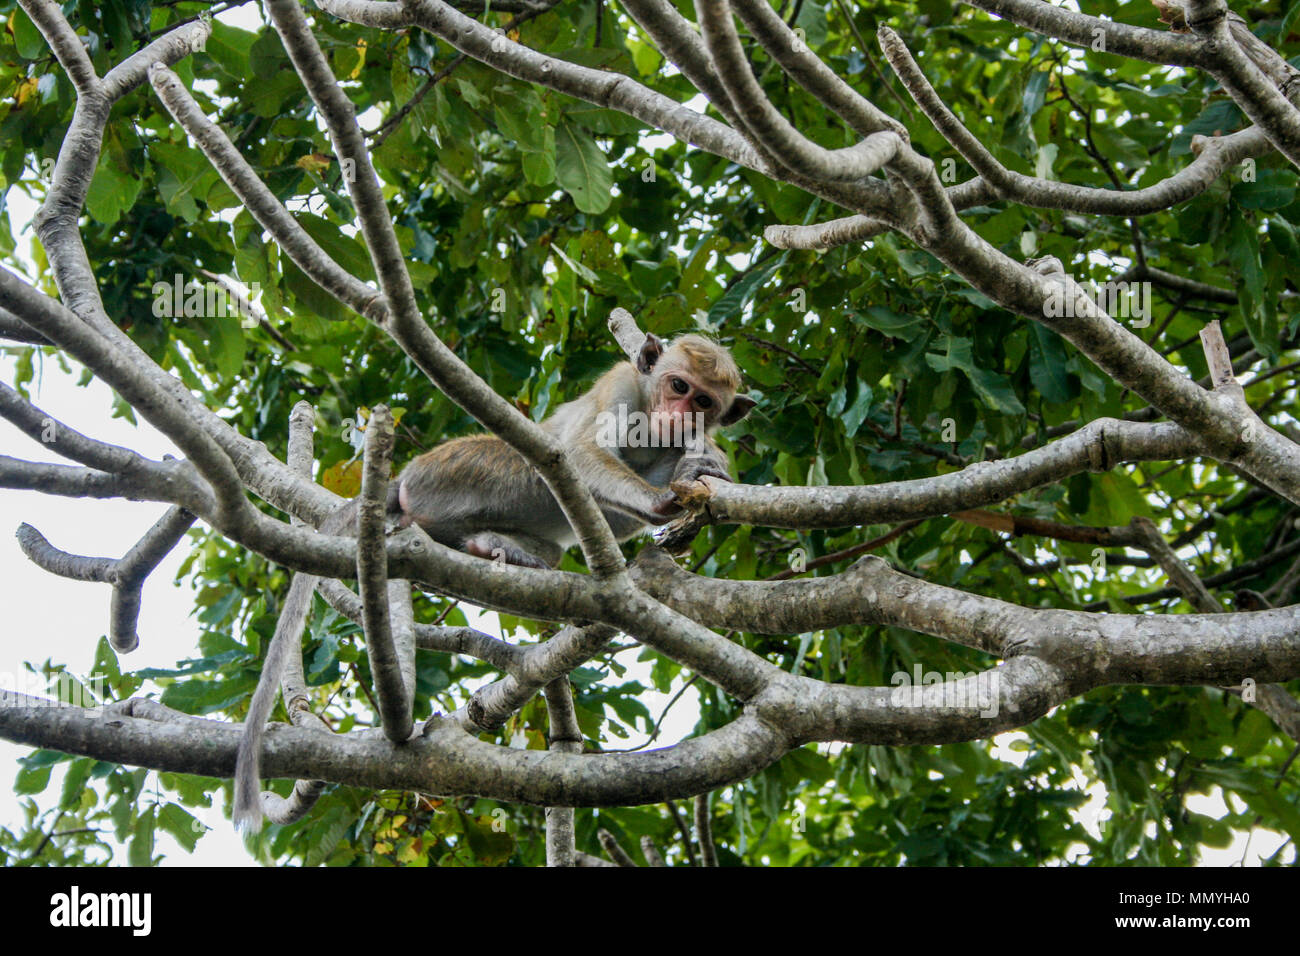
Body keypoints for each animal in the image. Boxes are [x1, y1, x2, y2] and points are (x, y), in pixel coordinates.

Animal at [233, 333, 754, 830]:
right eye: (678, 385)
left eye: (704, 402)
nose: (679, 415)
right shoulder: (620, 386)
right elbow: (583, 453)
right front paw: (664, 498)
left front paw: (696, 476)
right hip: (463, 467)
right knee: (541, 464)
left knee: (547, 543)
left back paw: (488, 546)